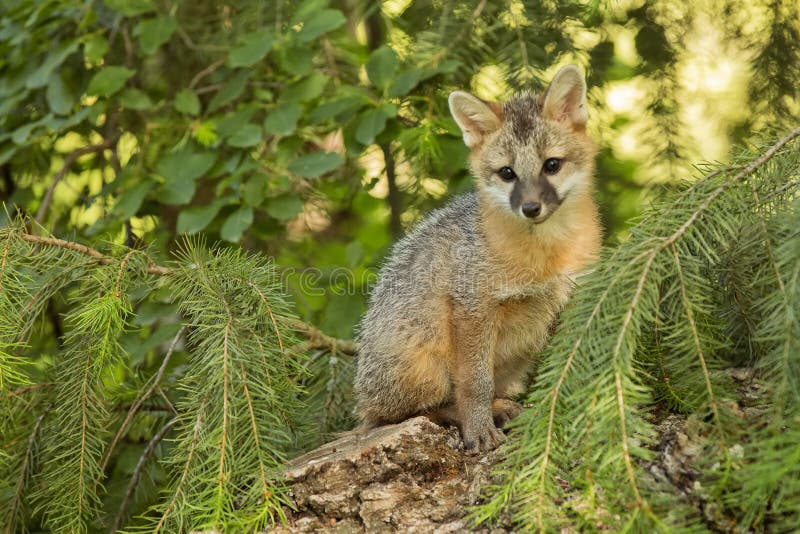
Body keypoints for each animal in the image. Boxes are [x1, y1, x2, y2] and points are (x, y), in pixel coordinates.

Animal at [354, 65, 602, 452]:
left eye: (551, 165)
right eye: (507, 173)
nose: (531, 207)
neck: (546, 256)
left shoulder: (576, 297)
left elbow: (569, 363)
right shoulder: (473, 308)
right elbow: (474, 383)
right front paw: (478, 428)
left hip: (520, 352)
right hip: (427, 365)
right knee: (403, 414)